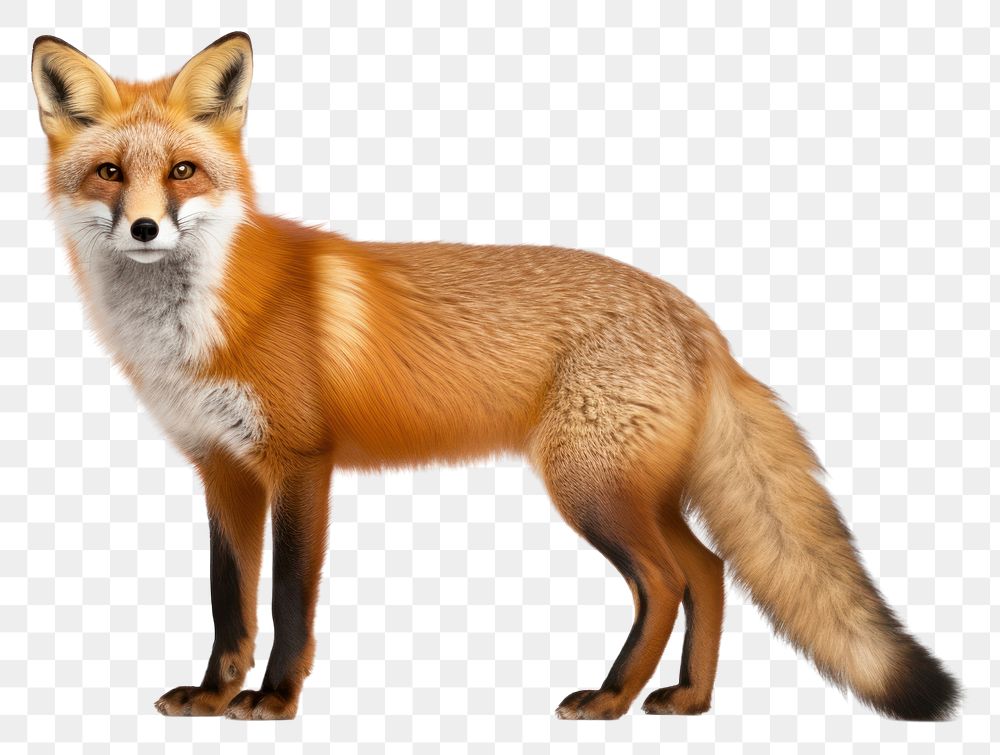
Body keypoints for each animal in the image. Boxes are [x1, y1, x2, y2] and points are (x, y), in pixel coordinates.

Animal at [30, 31, 959, 722]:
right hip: (636, 489)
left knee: (666, 581)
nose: (145, 228)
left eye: (182, 171)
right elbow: (231, 600)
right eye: (109, 172)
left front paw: (275, 700)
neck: (196, 326)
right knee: (707, 570)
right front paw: (215, 693)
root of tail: (695, 316)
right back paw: (689, 697)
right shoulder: (221, 468)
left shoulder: (299, 464)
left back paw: (611, 698)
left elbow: (288, 599)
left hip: (590, 487)